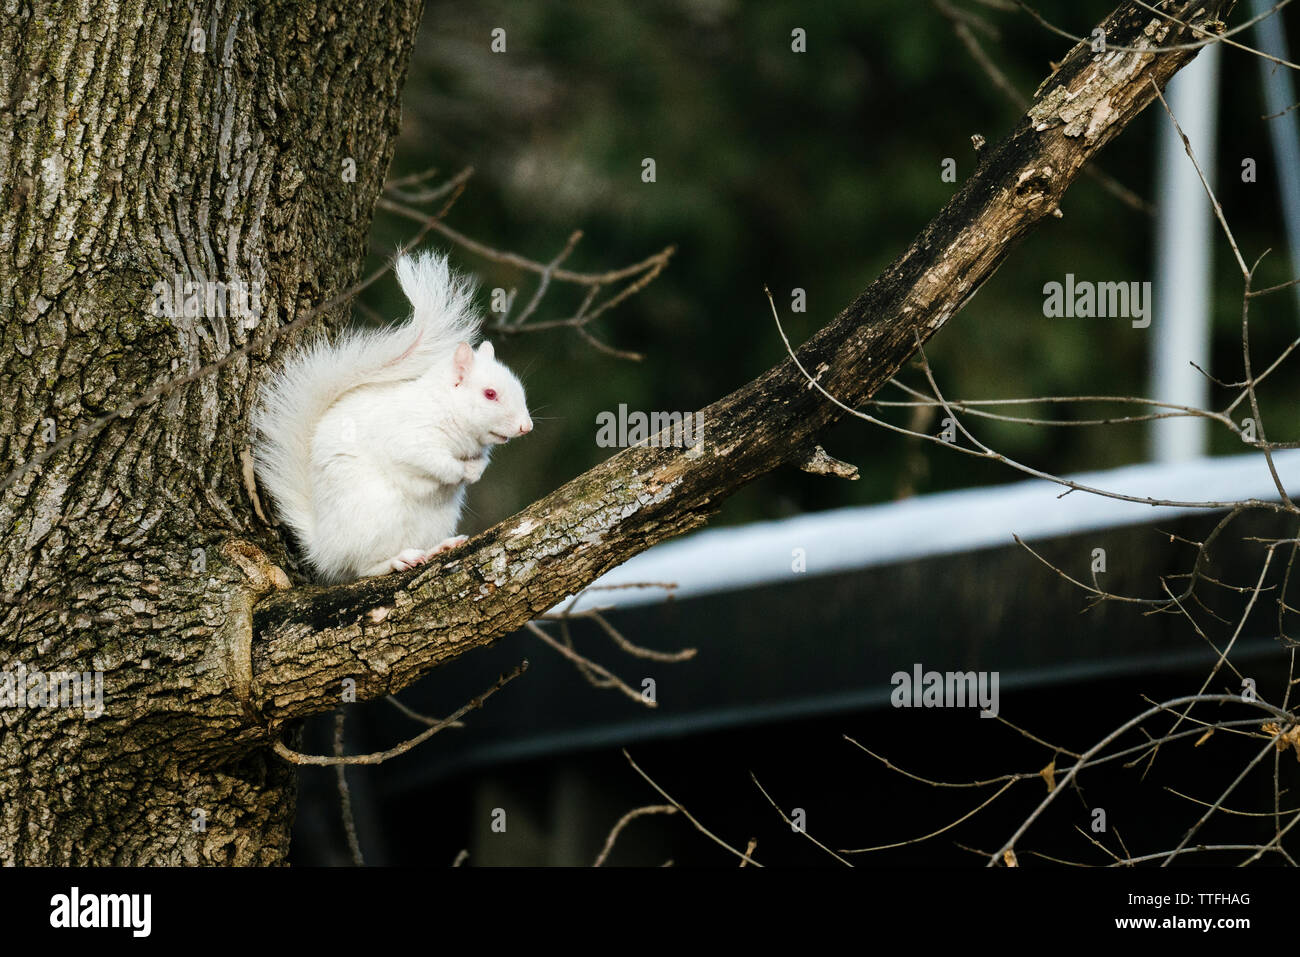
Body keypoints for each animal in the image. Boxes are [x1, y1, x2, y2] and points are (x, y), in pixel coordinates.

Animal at [251, 250, 533, 583]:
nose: (526, 426)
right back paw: (397, 561)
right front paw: (458, 471)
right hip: (376, 514)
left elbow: (479, 462)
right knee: (361, 567)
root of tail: (325, 548)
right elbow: (428, 460)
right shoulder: (409, 437)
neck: (445, 408)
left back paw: (438, 547)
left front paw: (475, 471)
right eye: (489, 394)